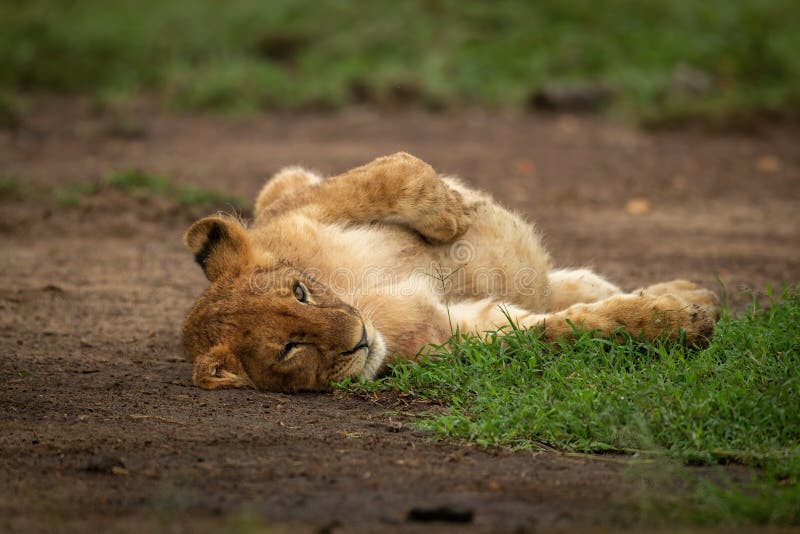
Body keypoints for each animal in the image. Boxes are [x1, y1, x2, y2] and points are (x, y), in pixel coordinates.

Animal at [182, 152, 719, 391]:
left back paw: (694, 290)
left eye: (299, 292)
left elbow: (397, 170)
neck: (363, 300)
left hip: (280, 182)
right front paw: (679, 324)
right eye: (288, 349)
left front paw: (453, 215)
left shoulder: (297, 203)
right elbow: (564, 329)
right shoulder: (444, 330)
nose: (359, 336)